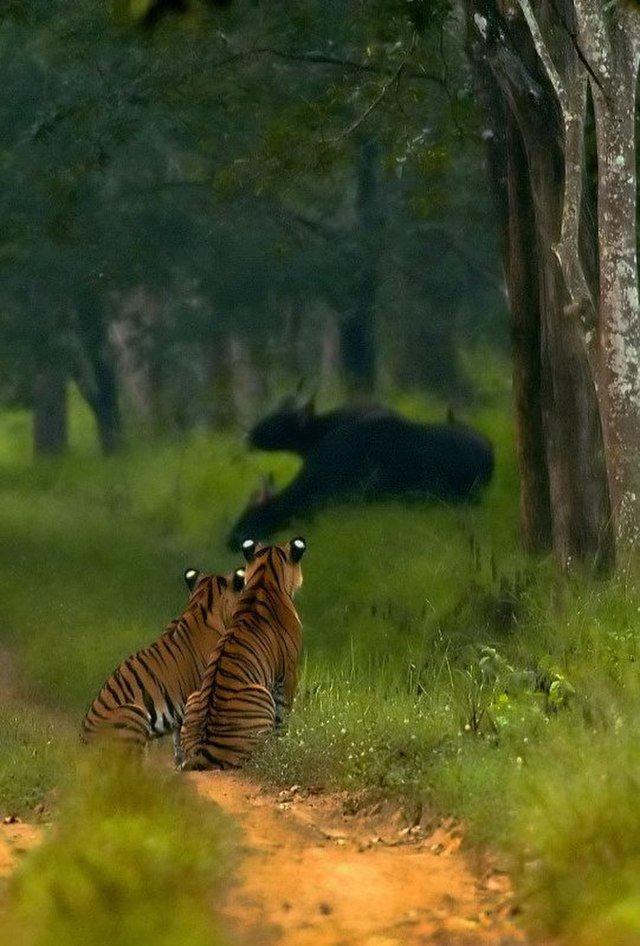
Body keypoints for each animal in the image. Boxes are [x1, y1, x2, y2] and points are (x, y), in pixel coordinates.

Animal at [180, 537, 306, 770]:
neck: (264, 579)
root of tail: (202, 749)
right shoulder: (289, 672)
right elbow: (284, 713)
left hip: (193, 696)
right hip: (261, 694)